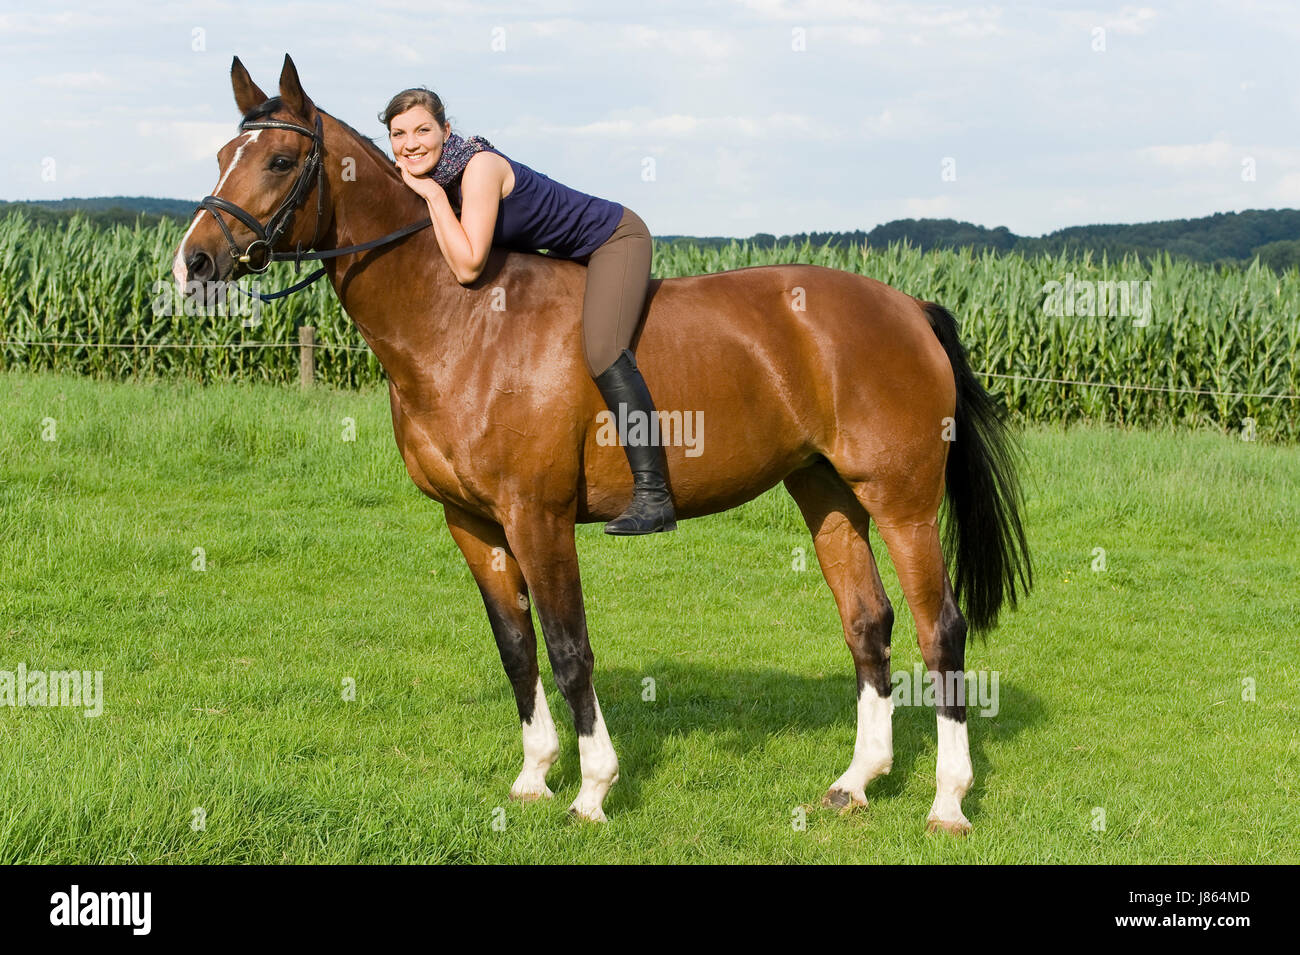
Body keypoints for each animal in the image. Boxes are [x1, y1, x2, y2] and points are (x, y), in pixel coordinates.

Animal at [173, 54, 1031, 834]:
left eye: (280, 161)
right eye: (220, 157)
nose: (194, 262)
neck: (459, 319)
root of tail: (910, 307)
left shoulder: (538, 516)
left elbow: (568, 647)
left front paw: (592, 788)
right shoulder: (472, 523)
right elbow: (517, 647)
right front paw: (533, 776)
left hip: (902, 499)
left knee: (939, 628)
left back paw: (948, 801)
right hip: (826, 491)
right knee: (868, 622)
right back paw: (856, 781)